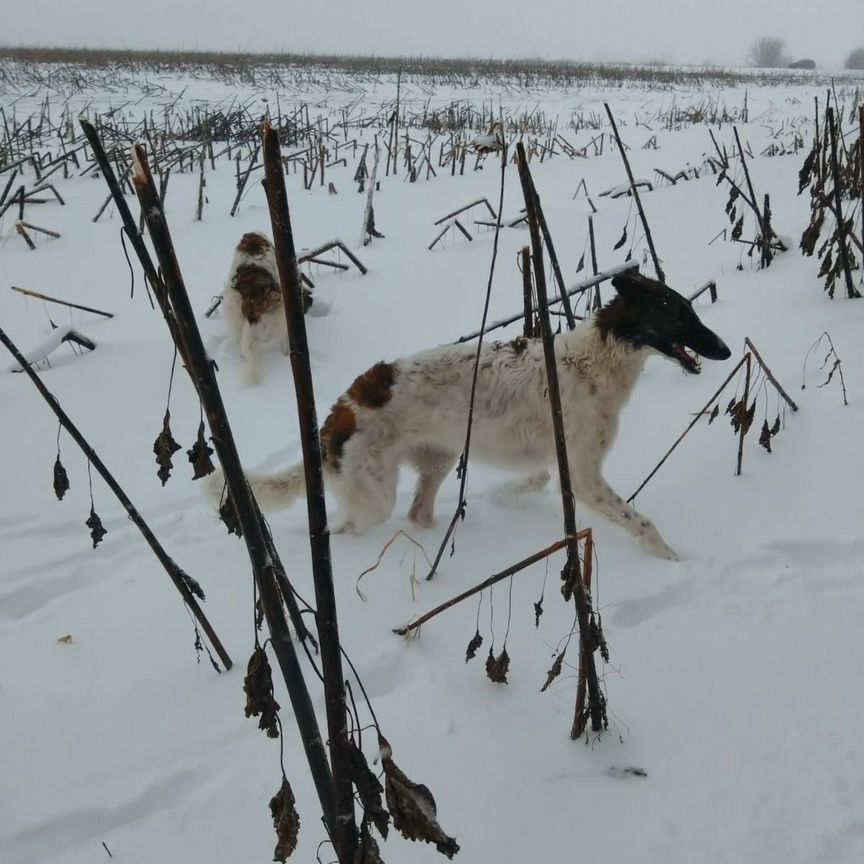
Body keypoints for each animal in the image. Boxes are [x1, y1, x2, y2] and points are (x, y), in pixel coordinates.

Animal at [228, 276, 728, 560]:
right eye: (677, 313)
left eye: (689, 309)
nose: (723, 349)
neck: (592, 363)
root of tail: (338, 413)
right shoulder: (585, 475)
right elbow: (641, 521)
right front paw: (670, 558)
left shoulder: (561, 463)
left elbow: (537, 479)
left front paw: (508, 495)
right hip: (373, 498)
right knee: (347, 528)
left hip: (437, 460)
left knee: (418, 513)